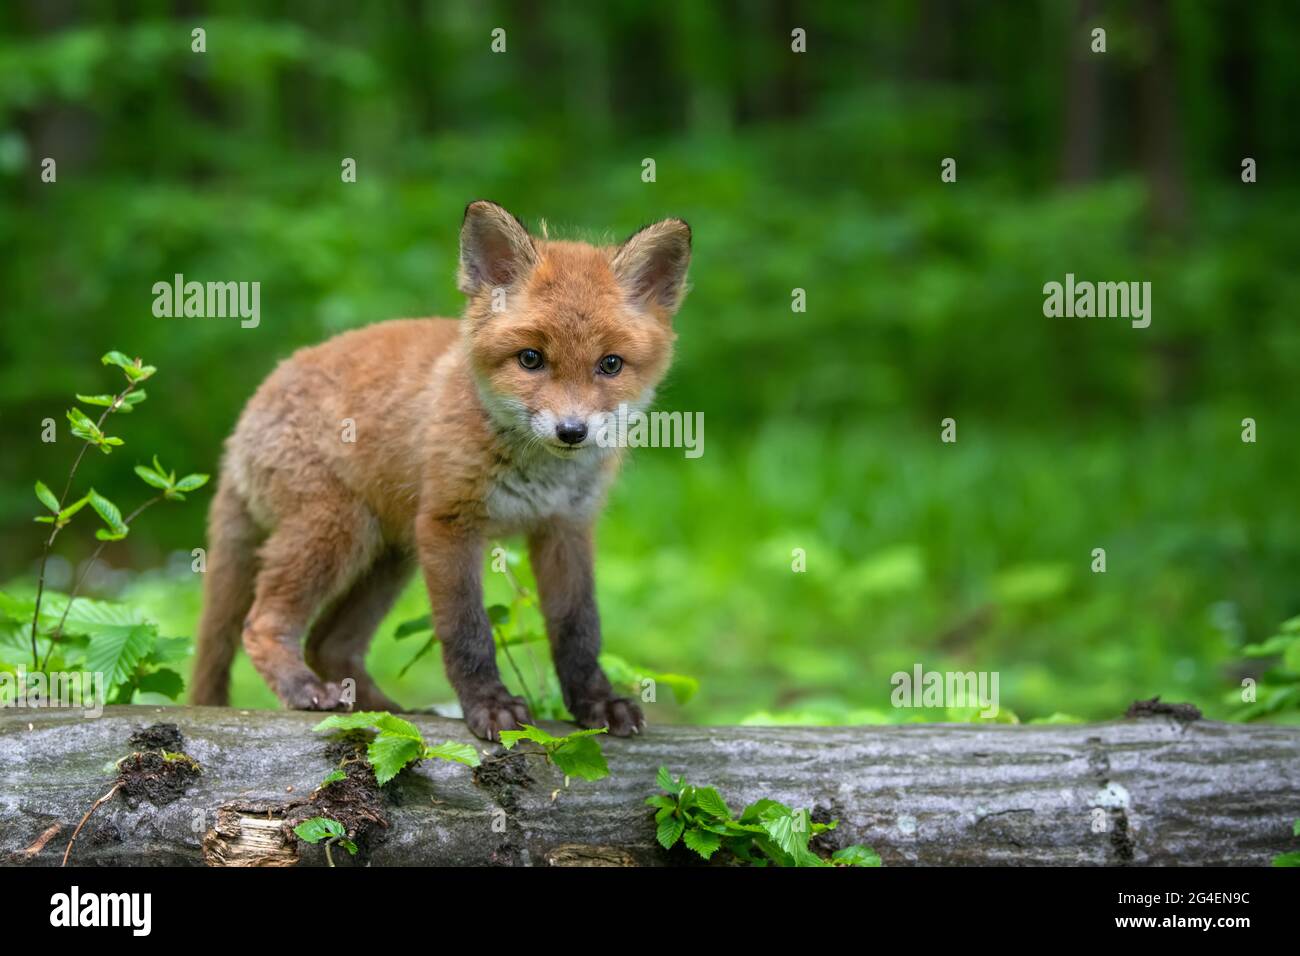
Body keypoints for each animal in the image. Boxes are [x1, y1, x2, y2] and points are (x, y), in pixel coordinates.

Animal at [189, 200, 691, 740]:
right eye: (530, 359)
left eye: (610, 365)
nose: (571, 431)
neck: (537, 474)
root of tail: (246, 416)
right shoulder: (449, 524)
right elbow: (466, 631)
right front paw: (489, 705)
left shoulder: (566, 529)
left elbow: (579, 631)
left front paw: (596, 703)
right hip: (339, 531)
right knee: (261, 624)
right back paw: (304, 689)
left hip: (389, 557)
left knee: (326, 643)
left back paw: (389, 712)